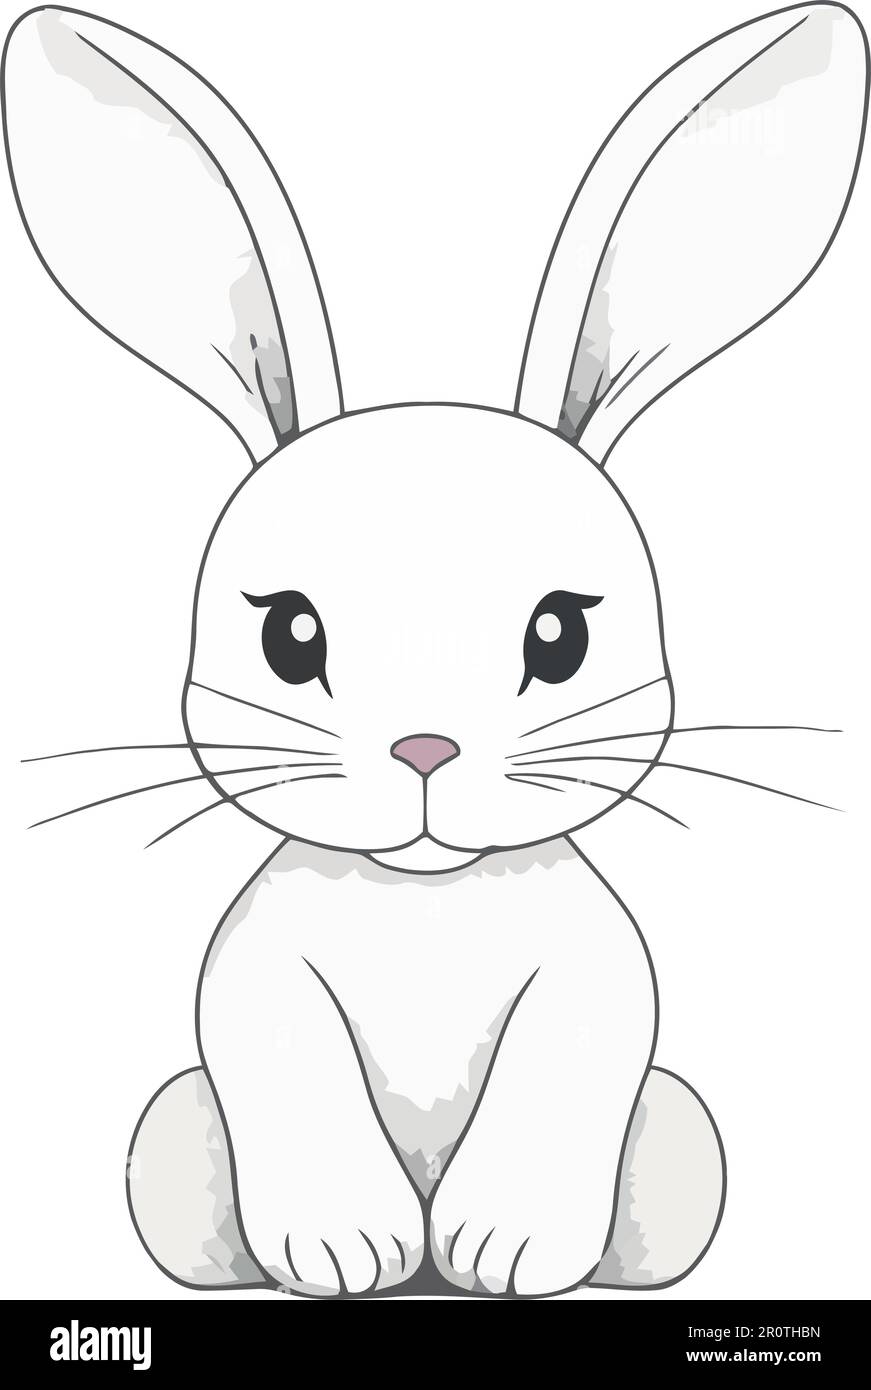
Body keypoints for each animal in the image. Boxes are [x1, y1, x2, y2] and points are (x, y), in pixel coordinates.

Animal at [2, 3, 866, 1299]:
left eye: (559, 636)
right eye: (288, 635)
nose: (423, 748)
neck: (427, 904)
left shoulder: (595, 980)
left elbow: (571, 1056)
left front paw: (504, 1247)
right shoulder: (256, 976)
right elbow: (281, 1054)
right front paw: (343, 1246)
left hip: (683, 1148)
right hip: (166, 1148)